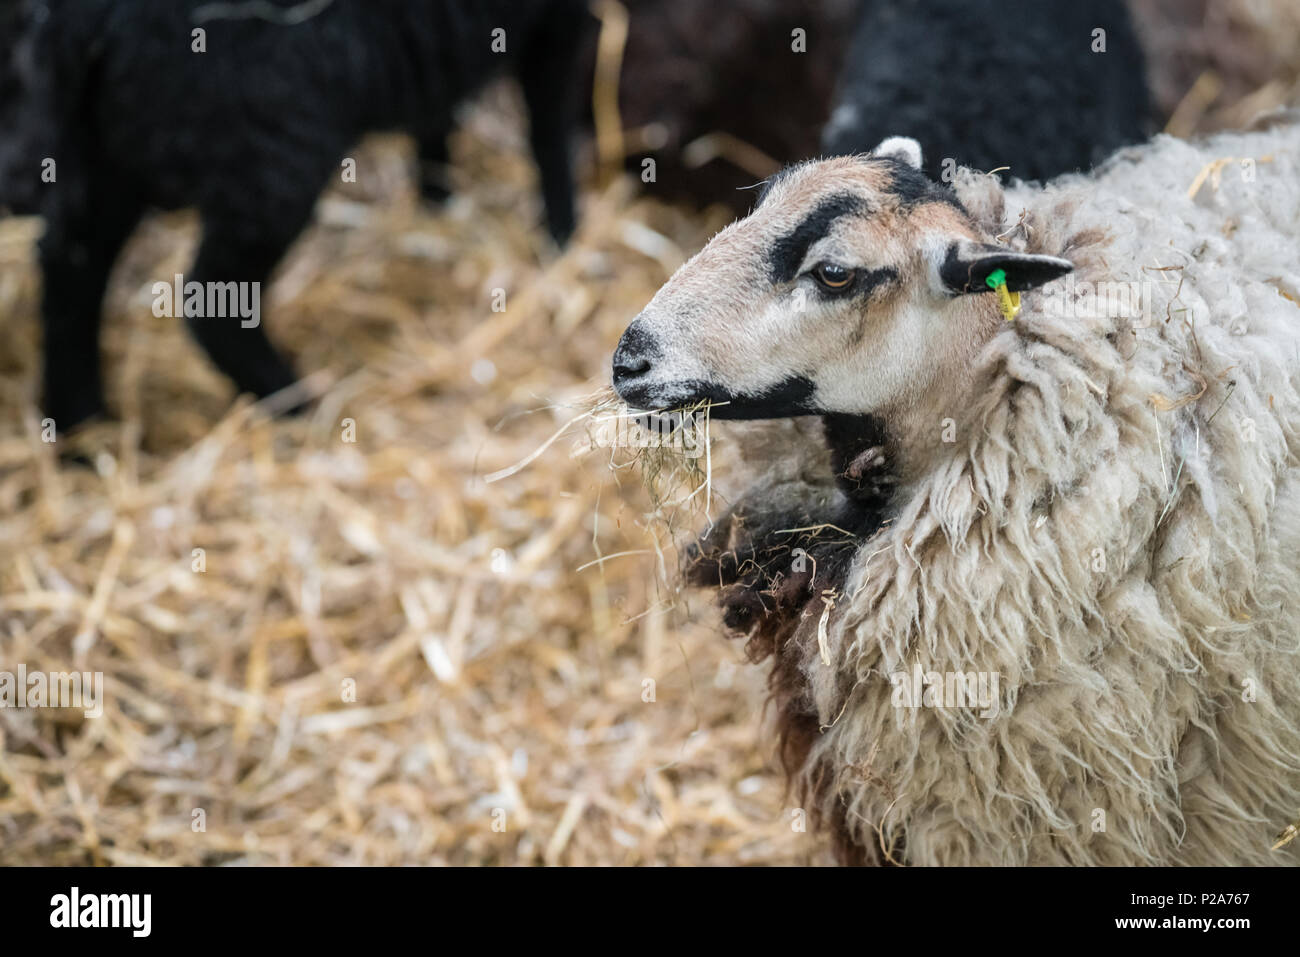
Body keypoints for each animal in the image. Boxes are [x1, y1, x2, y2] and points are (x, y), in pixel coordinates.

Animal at [5, 0, 591, 432]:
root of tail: (78, 21)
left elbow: (439, 115)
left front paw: (437, 196)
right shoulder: (556, 14)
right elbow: (549, 120)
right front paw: (564, 234)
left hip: (102, 143)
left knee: (70, 265)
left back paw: (82, 430)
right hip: (270, 147)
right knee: (207, 298)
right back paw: (297, 402)